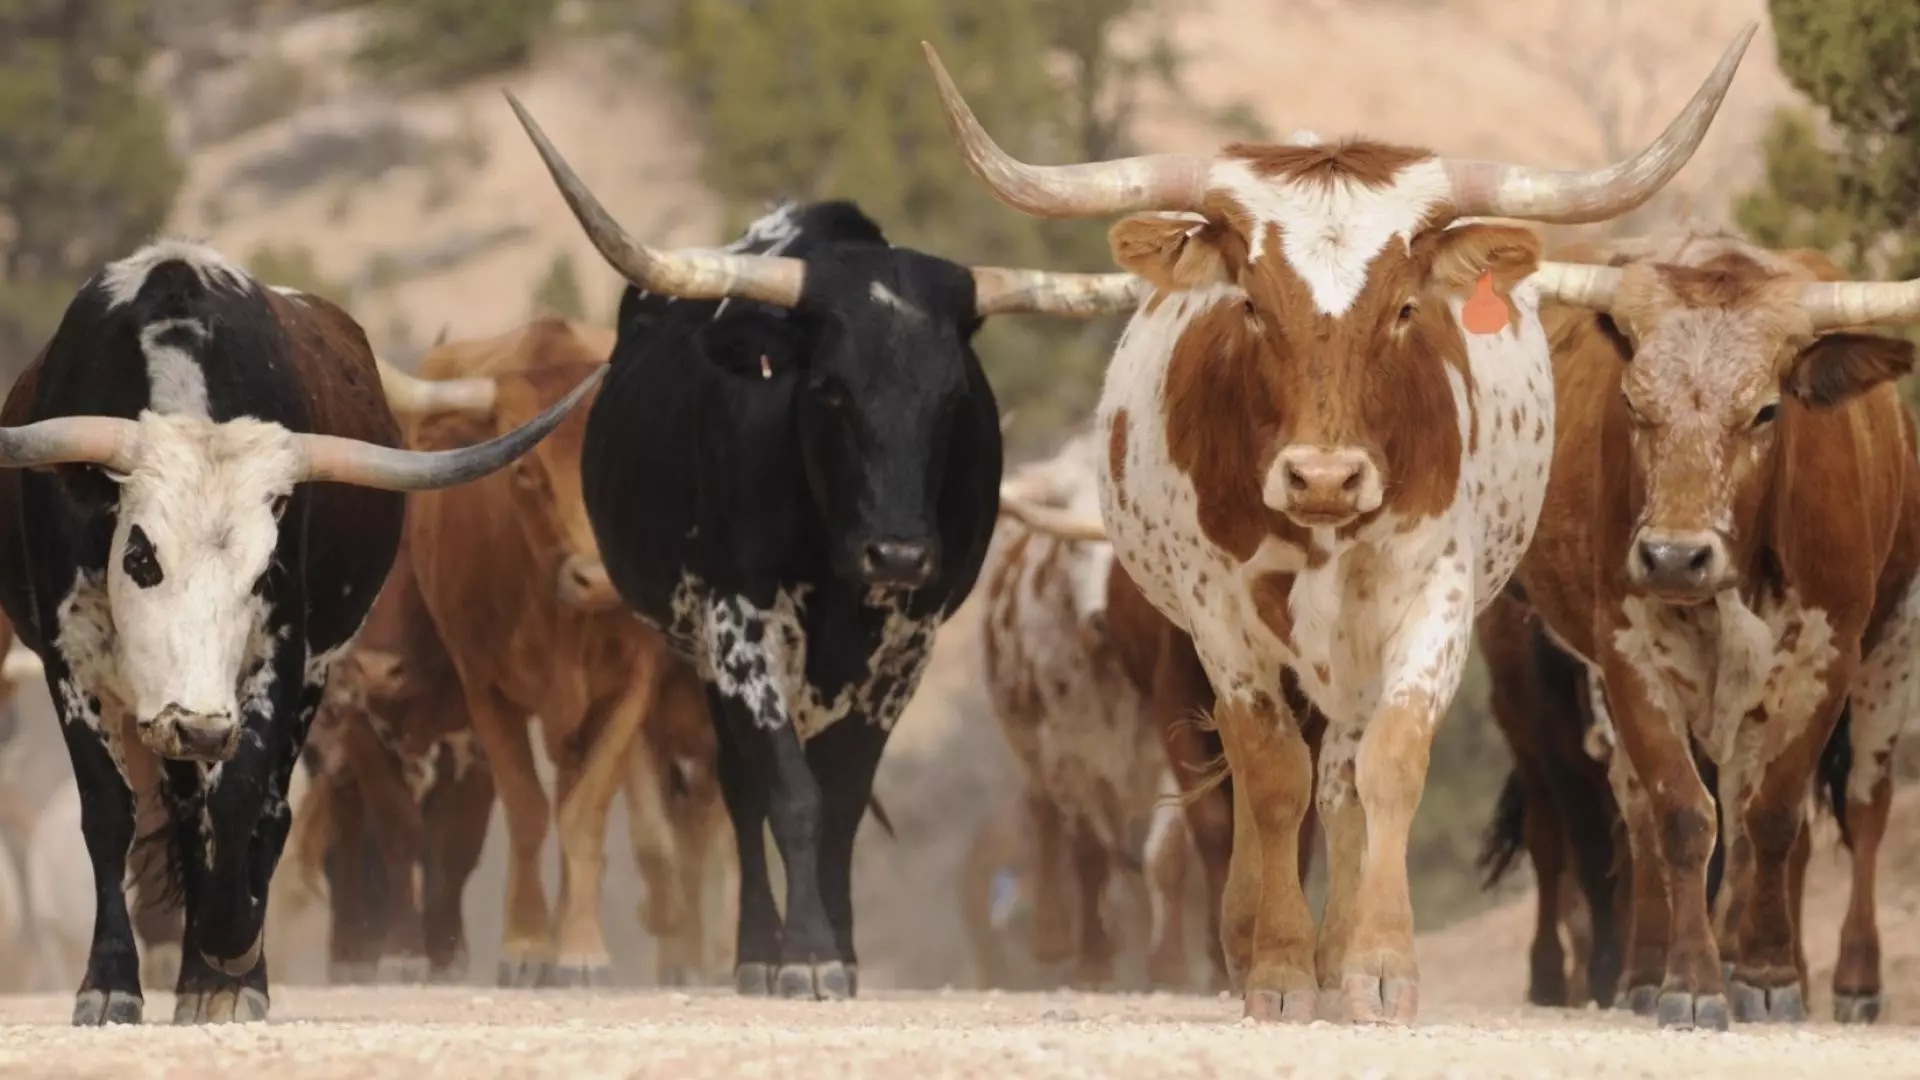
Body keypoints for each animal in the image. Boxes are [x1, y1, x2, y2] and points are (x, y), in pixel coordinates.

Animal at [921, 23, 1758, 1014]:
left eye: (1404, 308)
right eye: (1250, 303)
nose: (1324, 475)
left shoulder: (1434, 602)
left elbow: (1385, 766)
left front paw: (1377, 961)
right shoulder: (1219, 622)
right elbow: (1268, 777)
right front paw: (1277, 964)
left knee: (1342, 779)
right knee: (1251, 786)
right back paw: (1248, 937)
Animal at [1512, 228, 1920, 1022]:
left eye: (1765, 411)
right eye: (1634, 403)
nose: (1674, 556)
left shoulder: (1829, 655)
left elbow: (1774, 814)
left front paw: (1766, 976)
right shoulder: (1625, 652)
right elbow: (1679, 814)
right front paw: (1693, 981)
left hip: (1890, 648)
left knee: (1864, 804)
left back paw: (1851, 978)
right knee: (1647, 809)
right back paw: (1648, 970)